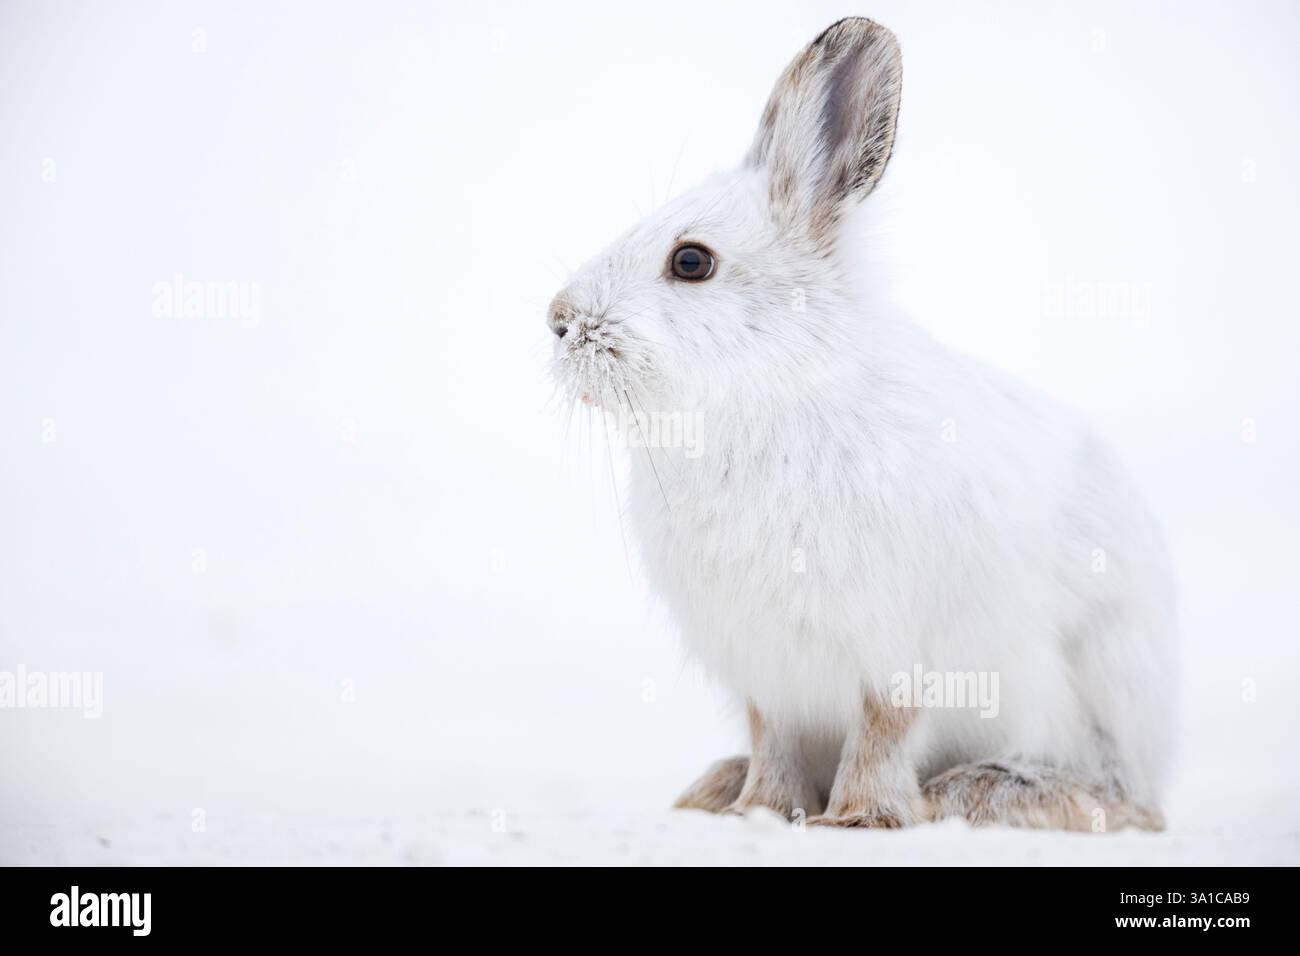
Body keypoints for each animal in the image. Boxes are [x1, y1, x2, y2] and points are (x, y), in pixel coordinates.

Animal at [547, 17, 1175, 831]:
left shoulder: (904, 653)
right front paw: (759, 811)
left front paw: (858, 819)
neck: (770, 397)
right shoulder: (766, 670)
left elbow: (883, 731)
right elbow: (772, 735)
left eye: (690, 262)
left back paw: (979, 792)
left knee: (1126, 801)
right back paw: (714, 788)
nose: (559, 320)